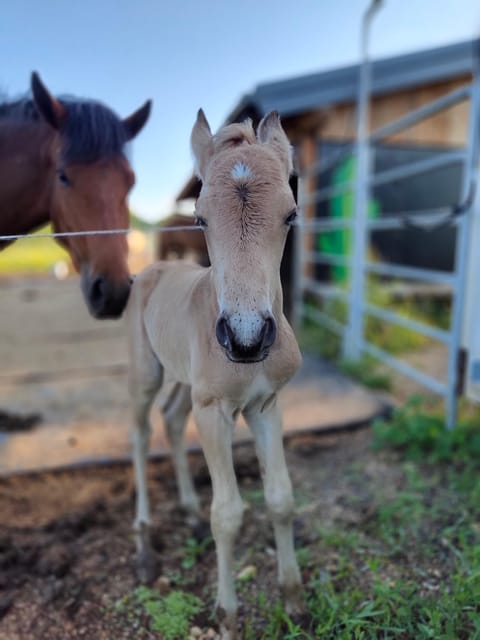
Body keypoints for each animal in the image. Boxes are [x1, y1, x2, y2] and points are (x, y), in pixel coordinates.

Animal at [126, 110, 303, 639]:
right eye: (200, 218)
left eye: (291, 214)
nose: (246, 339)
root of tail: (153, 268)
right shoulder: (214, 411)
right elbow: (226, 514)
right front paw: (226, 615)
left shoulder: (266, 405)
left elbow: (280, 497)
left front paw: (294, 599)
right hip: (147, 371)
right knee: (140, 431)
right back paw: (144, 537)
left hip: (186, 382)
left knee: (170, 418)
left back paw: (185, 509)